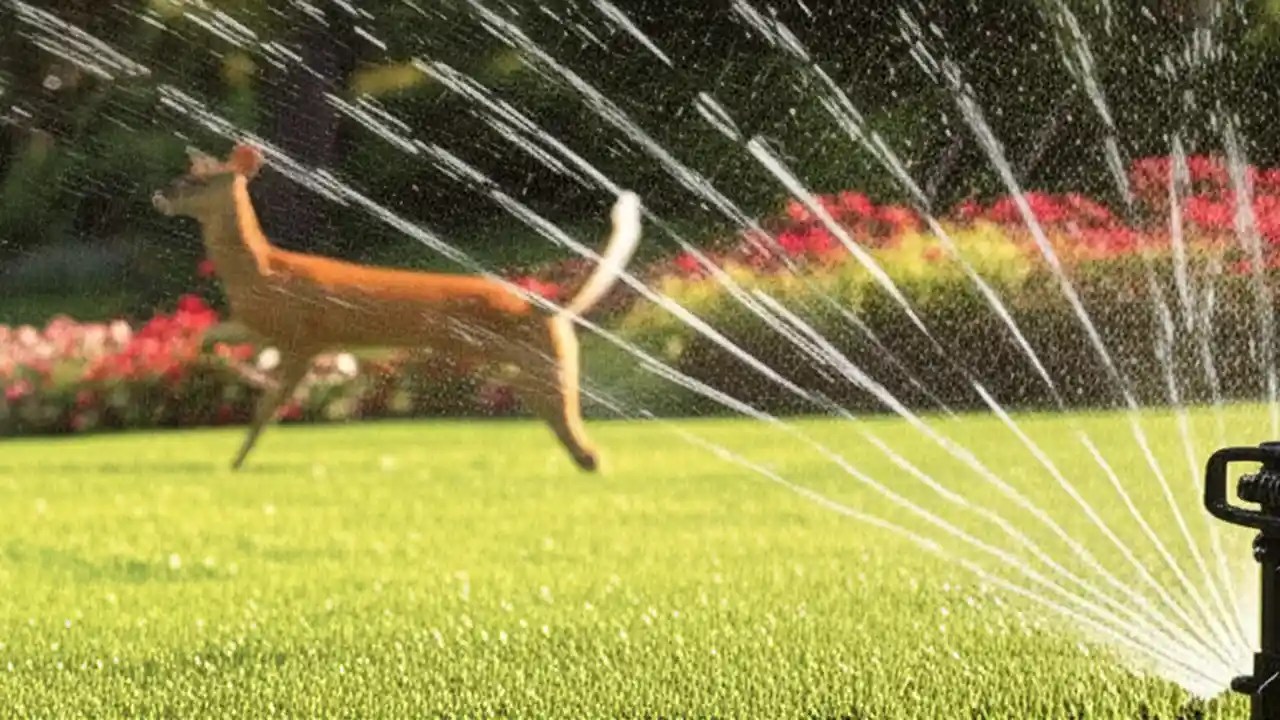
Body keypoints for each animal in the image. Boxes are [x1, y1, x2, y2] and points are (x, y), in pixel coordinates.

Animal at [152, 142, 642, 473]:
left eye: (196, 181)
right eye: (184, 174)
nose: (160, 194)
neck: (260, 270)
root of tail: (548, 312)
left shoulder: (305, 334)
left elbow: (269, 407)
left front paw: (237, 458)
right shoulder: (259, 323)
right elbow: (211, 337)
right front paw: (215, 368)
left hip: (544, 368)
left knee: (576, 431)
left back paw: (593, 462)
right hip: (533, 370)